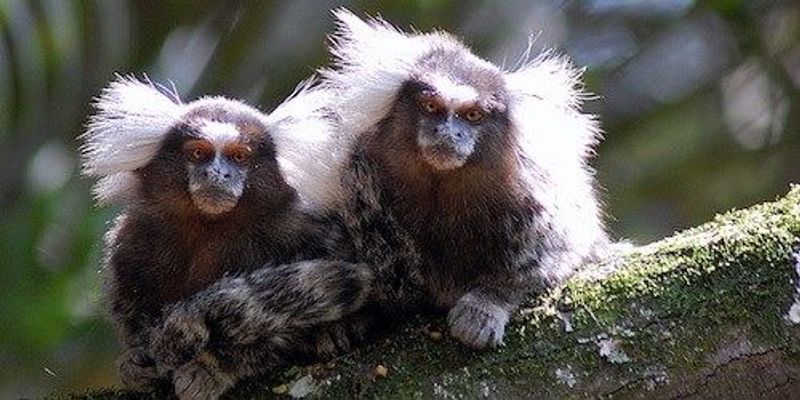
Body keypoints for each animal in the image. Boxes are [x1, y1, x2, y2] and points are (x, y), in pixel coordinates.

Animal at [81, 76, 373, 399]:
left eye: (239, 156)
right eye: (198, 153)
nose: (217, 174)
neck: (208, 228)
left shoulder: (301, 227)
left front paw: (212, 367)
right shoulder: (132, 238)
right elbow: (130, 310)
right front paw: (135, 362)